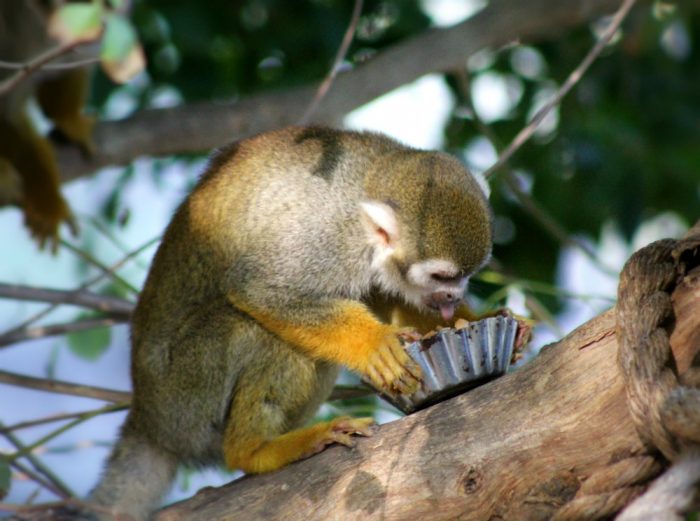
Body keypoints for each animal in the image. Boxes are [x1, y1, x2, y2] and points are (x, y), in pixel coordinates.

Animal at [86, 126, 493, 520]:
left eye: (467, 276)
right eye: (442, 277)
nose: (452, 298)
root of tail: (147, 418)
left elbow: (382, 293)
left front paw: (478, 321)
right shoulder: (328, 240)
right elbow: (259, 289)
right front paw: (374, 342)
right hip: (186, 396)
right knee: (250, 328)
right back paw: (256, 450)